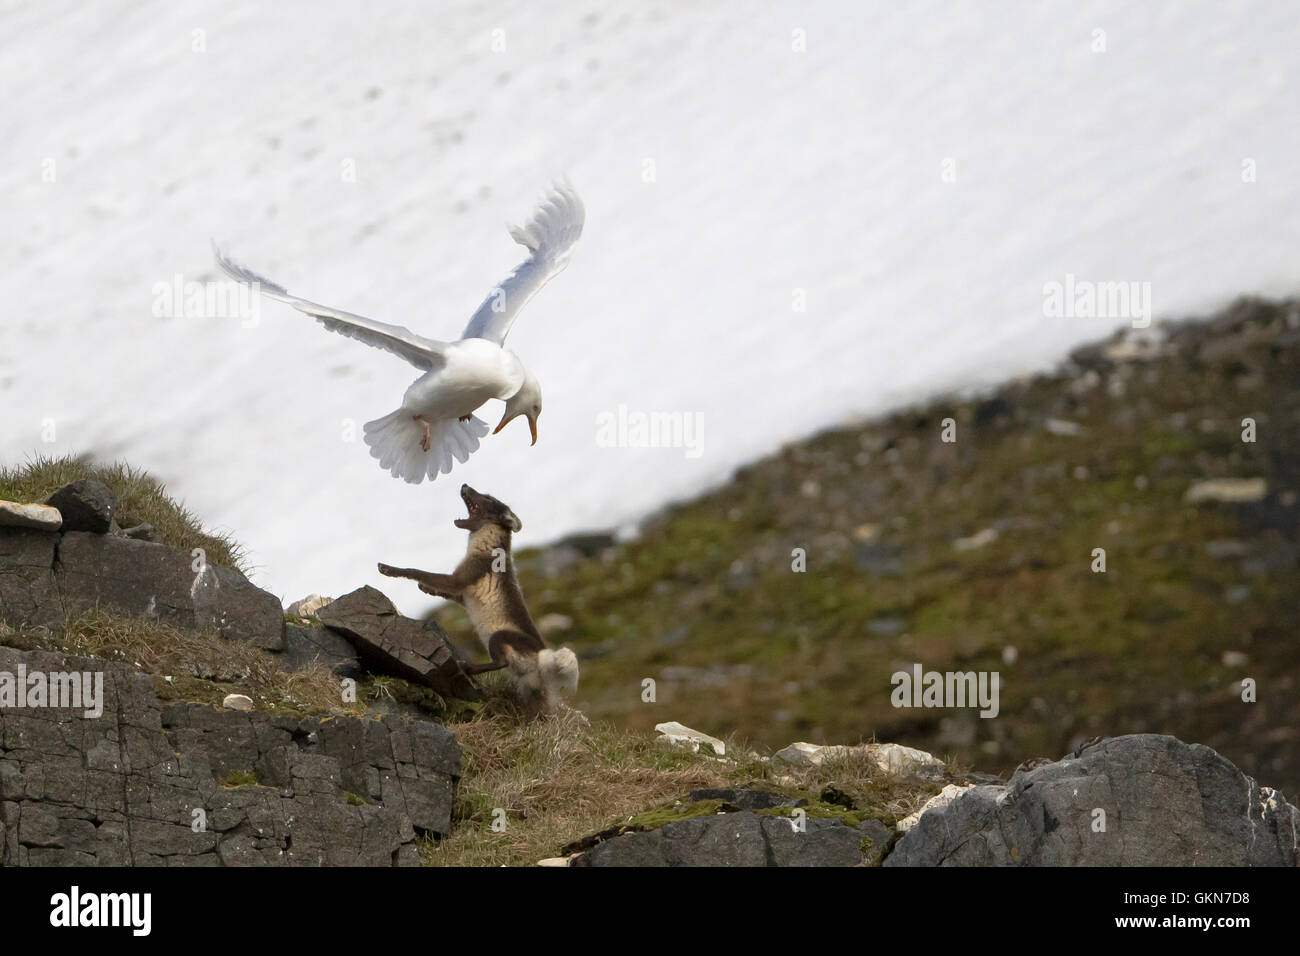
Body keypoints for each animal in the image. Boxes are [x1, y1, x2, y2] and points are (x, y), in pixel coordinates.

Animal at [377, 484, 579, 716]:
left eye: (488, 498)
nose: (465, 484)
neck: (484, 543)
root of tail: (542, 657)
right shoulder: (462, 593)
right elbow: (440, 589)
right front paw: (425, 589)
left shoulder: (460, 578)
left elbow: (417, 571)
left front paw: (388, 569)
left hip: (499, 637)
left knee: (501, 661)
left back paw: (467, 667)